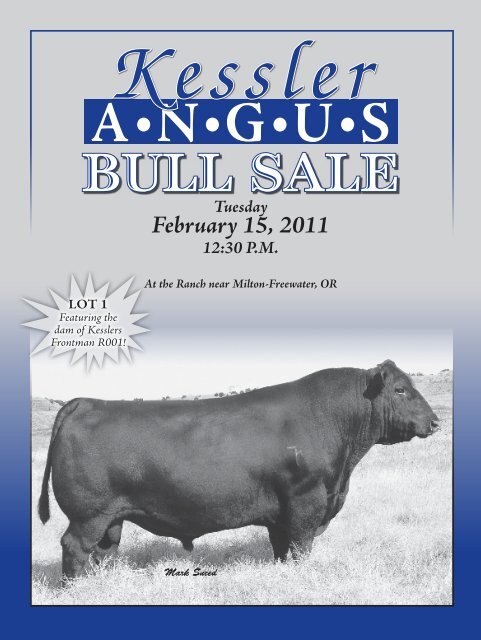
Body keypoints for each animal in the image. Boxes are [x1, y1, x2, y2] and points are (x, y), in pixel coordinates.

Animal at [38, 359, 440, 581]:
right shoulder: (305, 502)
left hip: (111, 516)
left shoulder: (281, 513)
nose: (435, 421)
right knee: (75, 547)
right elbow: (300, 546)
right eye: (400, 390)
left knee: (104, 551)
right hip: (88, 514)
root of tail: (87, 402)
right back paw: (74, 589)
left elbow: (281, 548)